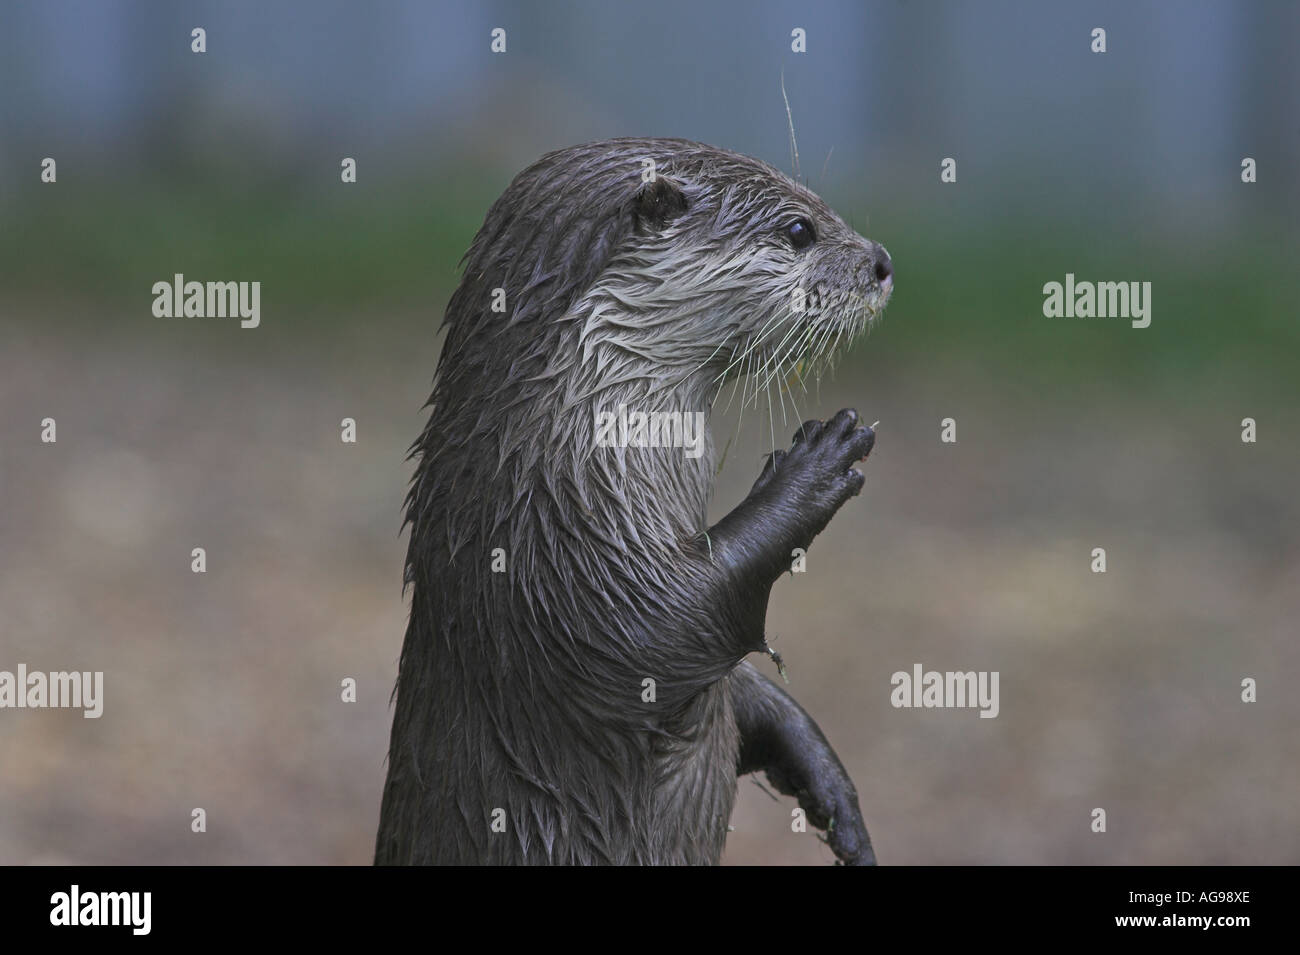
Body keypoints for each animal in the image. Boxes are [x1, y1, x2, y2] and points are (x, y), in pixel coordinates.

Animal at [375, 138, 893, 865]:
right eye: (798, 230)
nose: (882, 262)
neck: (541, 459)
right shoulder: (557, 563)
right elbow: (673, 621)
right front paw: (814, 465)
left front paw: (834, 798)